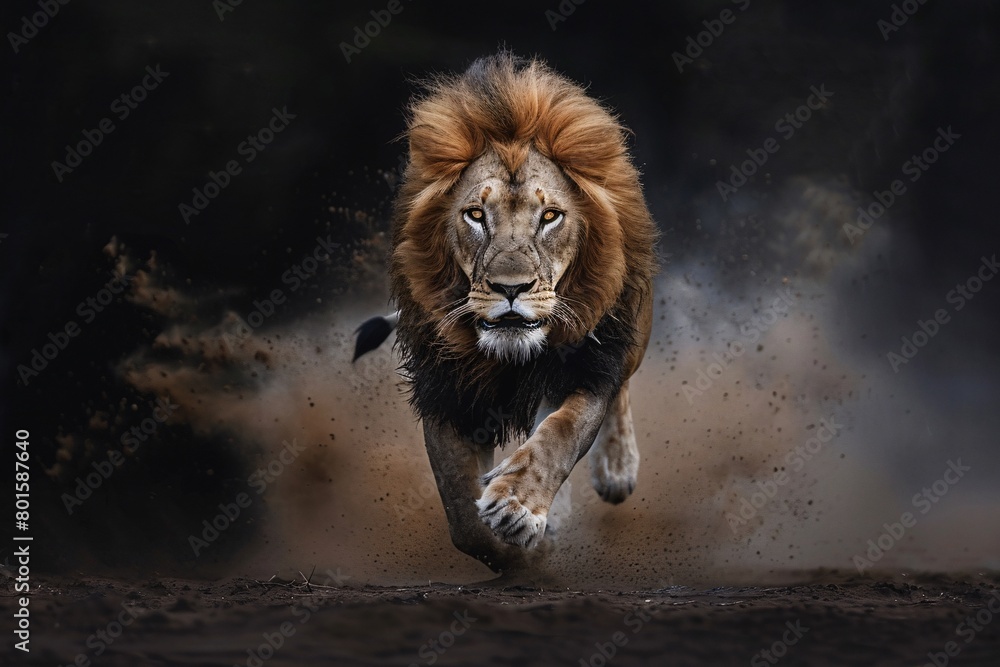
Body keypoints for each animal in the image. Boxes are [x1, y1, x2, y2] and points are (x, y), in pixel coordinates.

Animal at [355, 52, 658, 573]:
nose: (510, 288)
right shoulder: (447, 389)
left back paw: (615, 470)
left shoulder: (584, 364)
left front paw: (517, 508)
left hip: (628, 327)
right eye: (476, 215)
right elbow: (462, 515)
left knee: (616, 386)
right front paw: (522, 552)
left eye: (550, 216)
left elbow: (560, 434)